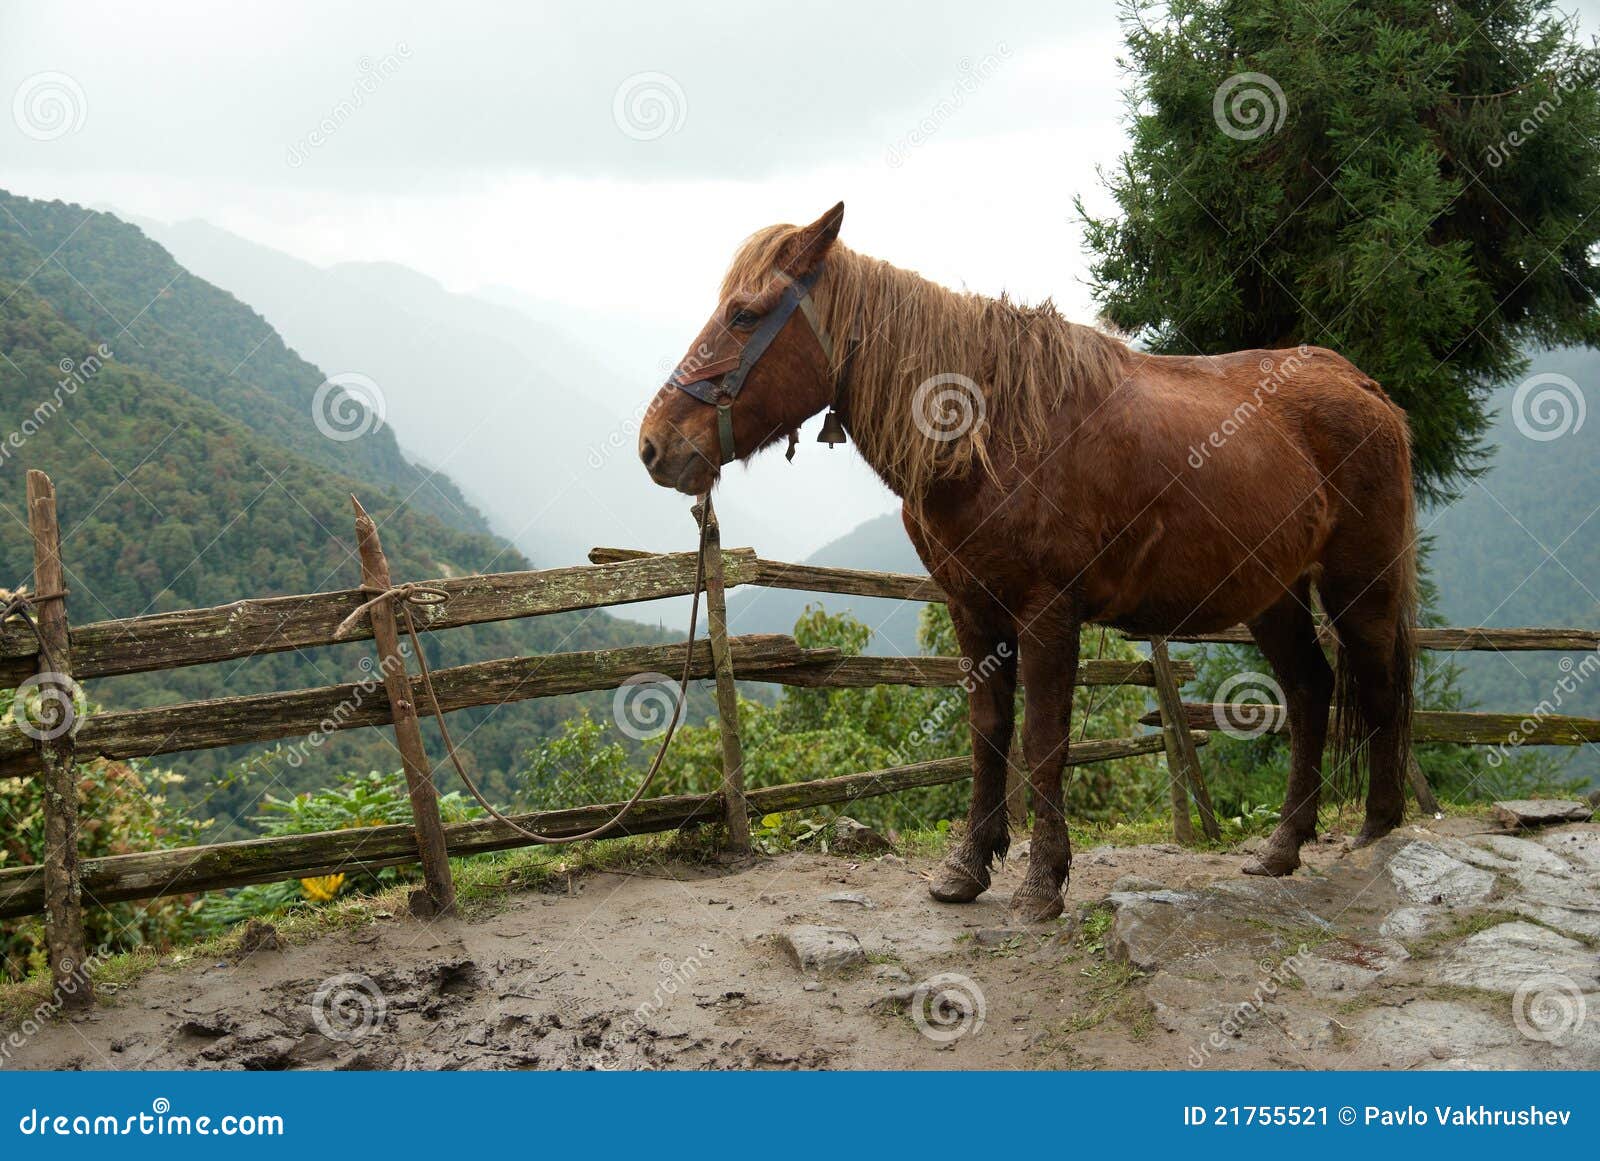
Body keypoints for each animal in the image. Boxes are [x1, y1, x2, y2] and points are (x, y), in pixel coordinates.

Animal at [637, 202, 1417, 924]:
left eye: (744, 314)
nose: (653, 444)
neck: (986, 430)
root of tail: (1366, 389)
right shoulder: (973, 608)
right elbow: (989, 733)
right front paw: (967, 867)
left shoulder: (1047, 611)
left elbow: (1044, 740)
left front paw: (1043, 882)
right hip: (1274, 597)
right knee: (1312, 692)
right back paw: (1283, 846)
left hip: (1360, 585)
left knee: (1379, 685)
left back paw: (1378, 829)